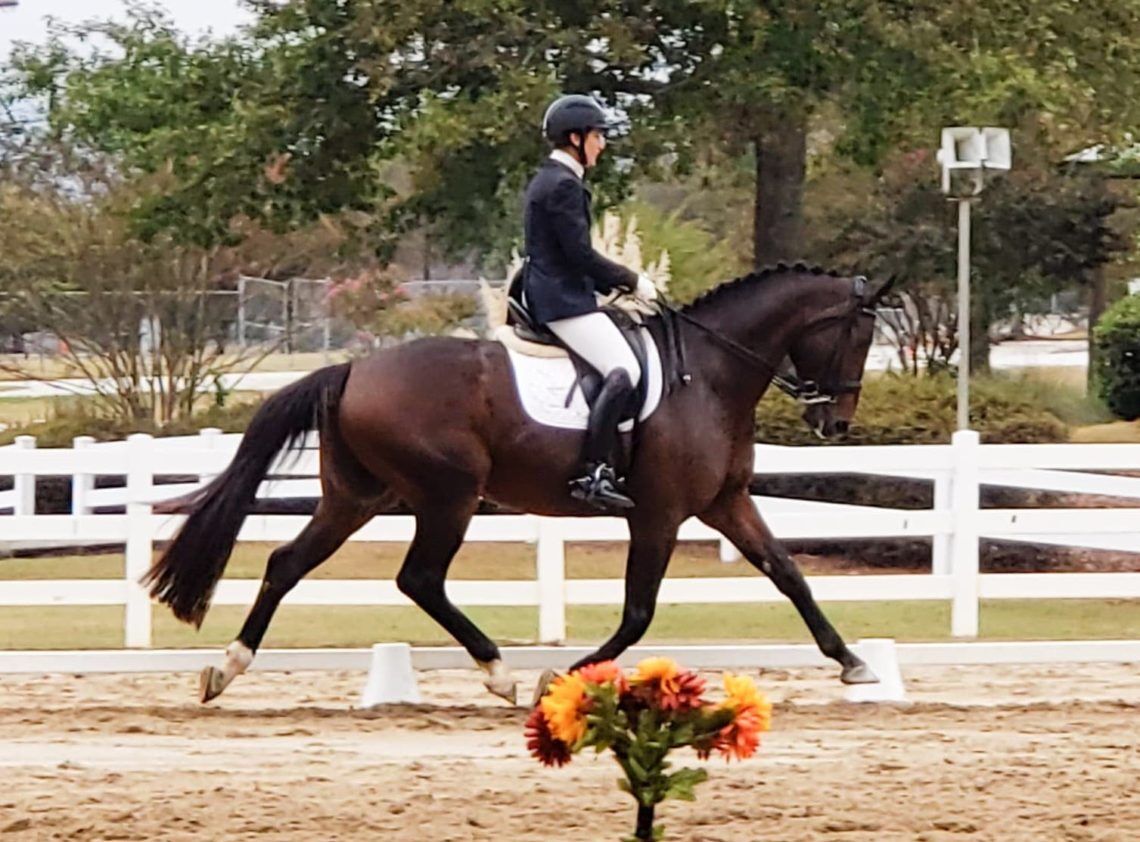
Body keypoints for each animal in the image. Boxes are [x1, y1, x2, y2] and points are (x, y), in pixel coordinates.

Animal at [143, 263, 893, 705]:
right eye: (857, 334)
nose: (837, 422)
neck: (707, 374)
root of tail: (353, 369)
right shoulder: (659, 513)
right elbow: (638, 612)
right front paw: (561, 675)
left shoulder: (725, 503)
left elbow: (788, 573)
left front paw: (854, 662)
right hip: (449, 495)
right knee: (419, 580)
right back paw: (500, 673)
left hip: (358, 498)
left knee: (286, 562)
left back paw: (227, 667)